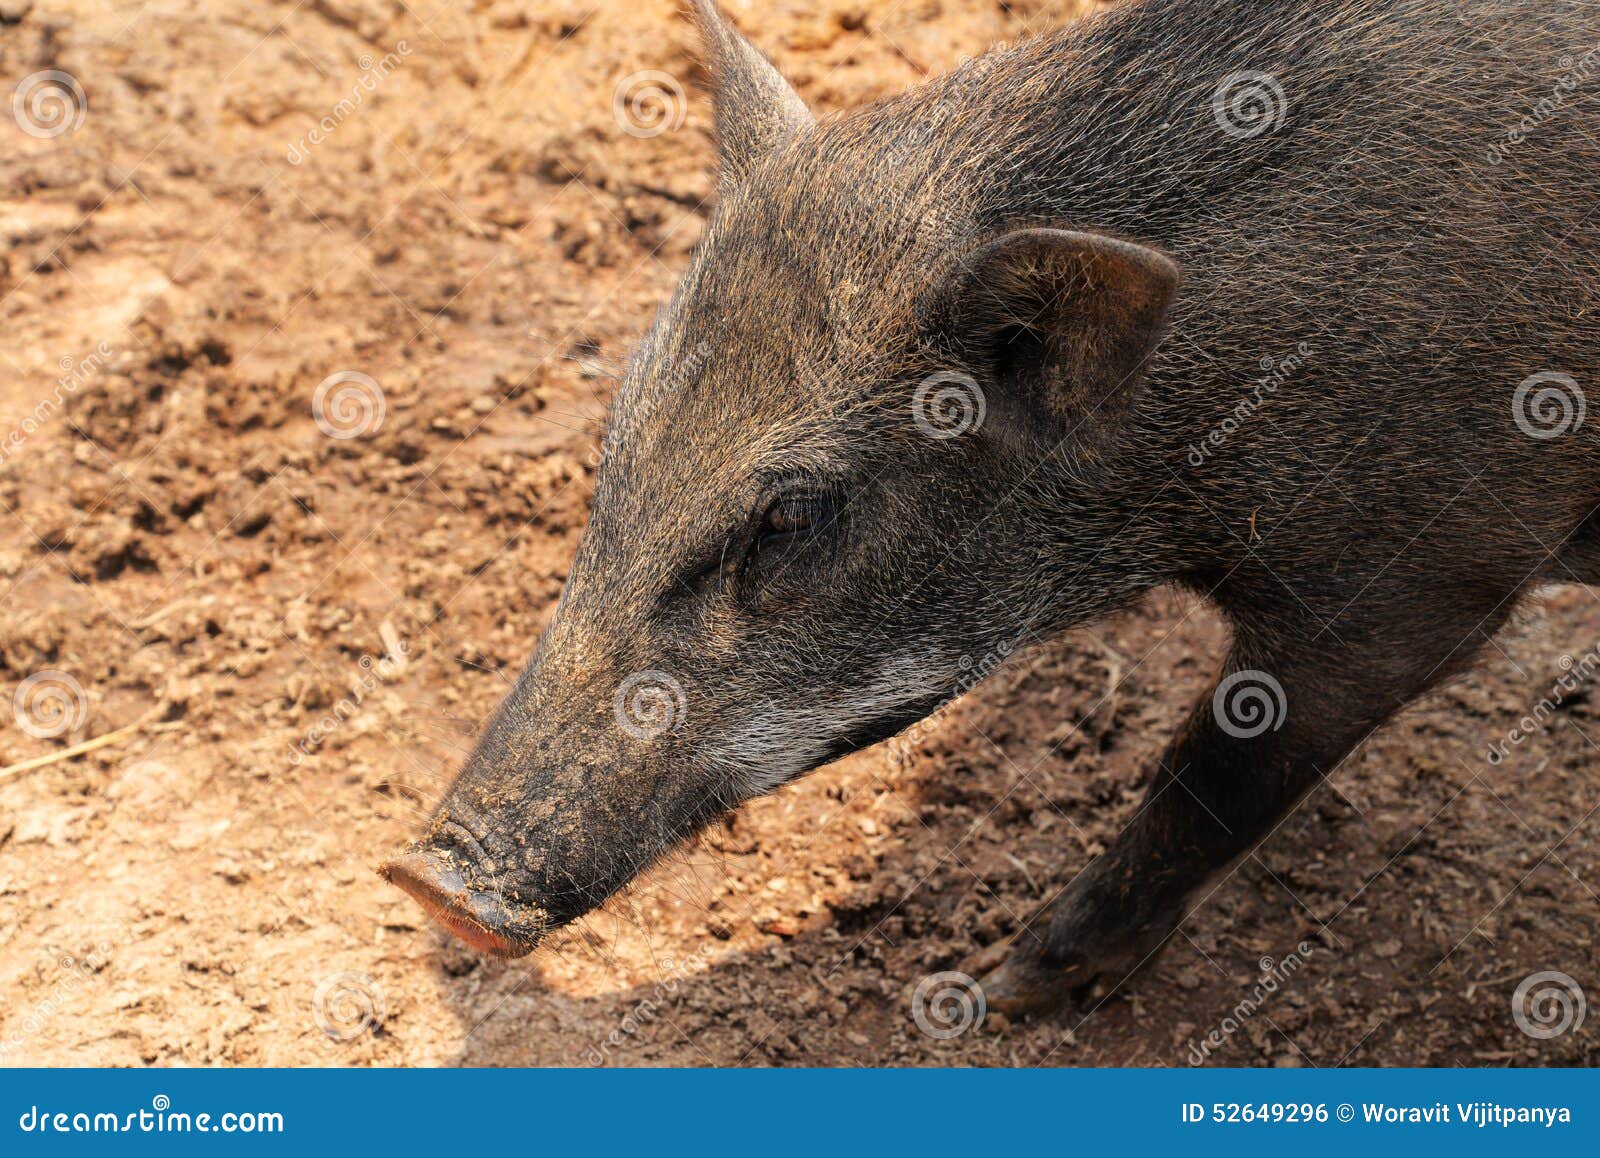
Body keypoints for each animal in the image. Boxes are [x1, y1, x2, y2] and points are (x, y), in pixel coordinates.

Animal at [383, 0, 1600, 1014]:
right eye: (622, 426)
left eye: (793, 516)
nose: (427, 881)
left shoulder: (1421, 580)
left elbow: (1214, 773)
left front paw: (1009, 988)